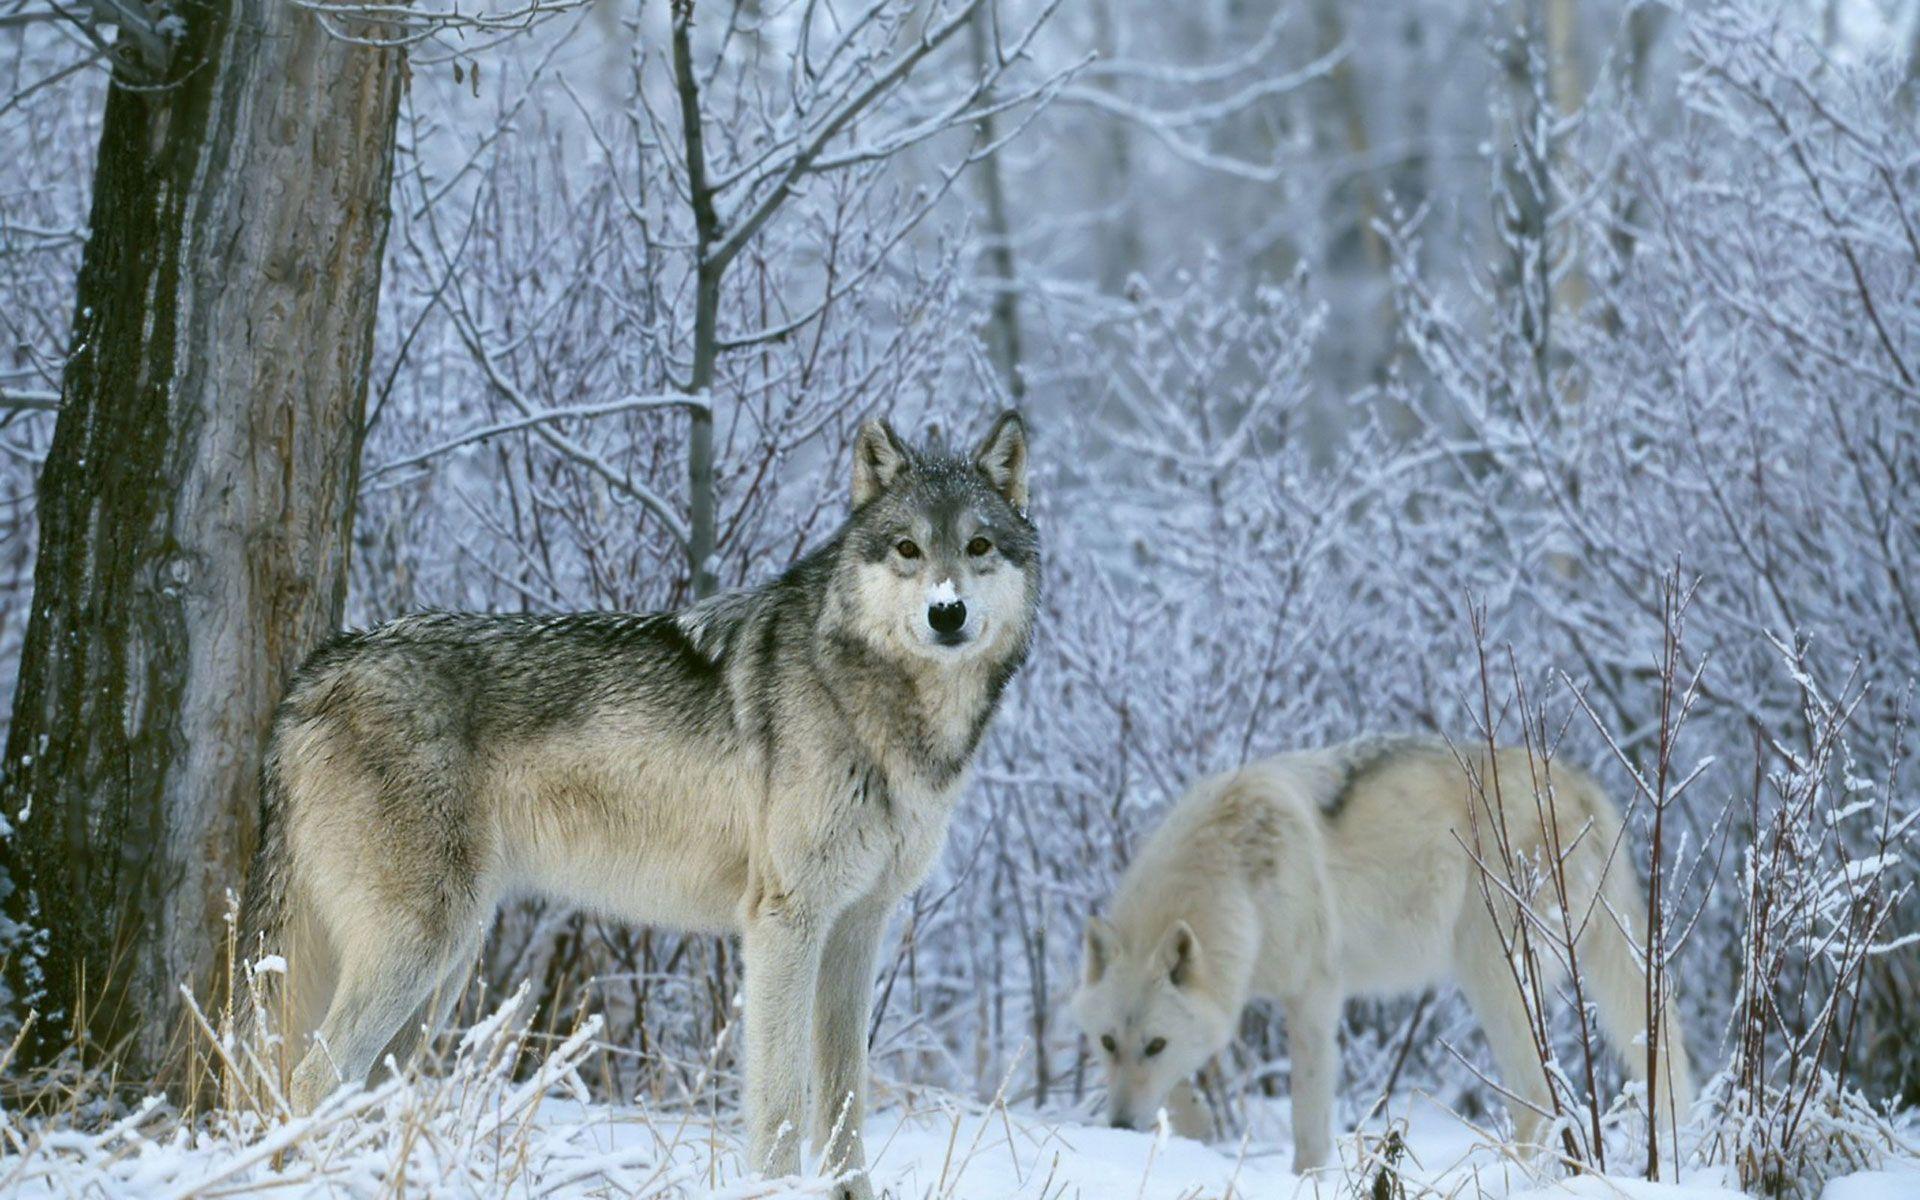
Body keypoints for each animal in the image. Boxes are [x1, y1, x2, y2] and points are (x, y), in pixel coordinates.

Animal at [237, 412, 1038, 1197]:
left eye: (978, 546)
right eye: (908, 548)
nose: (946, 611)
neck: (880, 708)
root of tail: (315, 672)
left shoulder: (857, 928)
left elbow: (845, 1105)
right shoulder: (785, 923)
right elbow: (781, 1102)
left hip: (443, 972)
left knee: (360, 1092)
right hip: (423, 947)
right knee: (310, 1078)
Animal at [1073, 735, 1695, 1172]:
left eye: (1154, 1044)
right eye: (1106, 1043)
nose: (1119, 1126)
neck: (1236, 876)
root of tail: (1580, 784)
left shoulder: (1314, 996)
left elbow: (1307, 1122)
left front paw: (1305, 1180)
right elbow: (1184, 1087)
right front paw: (1197, 1131)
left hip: (1491, 977)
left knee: (1538, 1099)